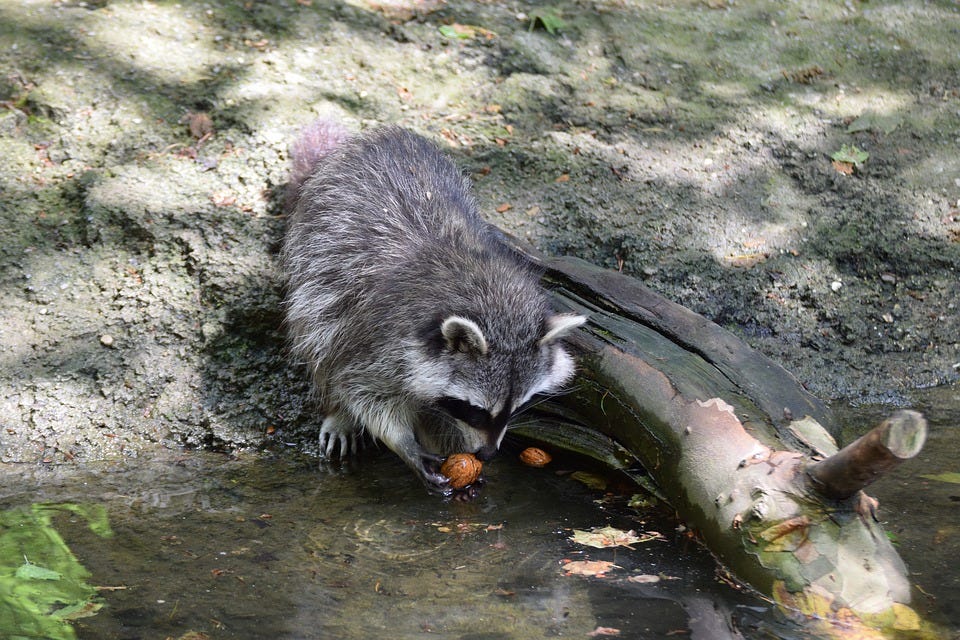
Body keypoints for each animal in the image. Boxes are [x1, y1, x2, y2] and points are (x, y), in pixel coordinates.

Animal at [281, 122, 585, 495]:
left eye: (519, 407)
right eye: (475, 411)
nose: (488, 454)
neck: (480, 288)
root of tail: (378, 135)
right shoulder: (377, 332)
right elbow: (363, 388)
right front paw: (403, 443)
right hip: (314, 260)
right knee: (318, 334)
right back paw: (338, 411)